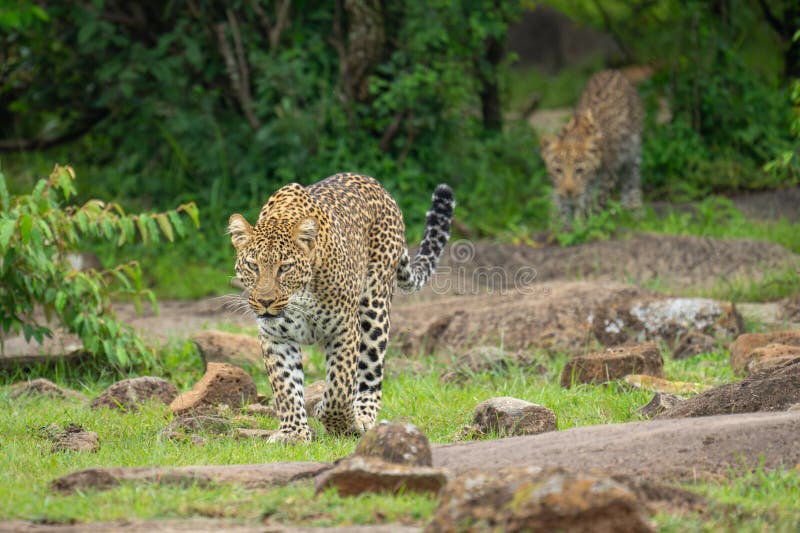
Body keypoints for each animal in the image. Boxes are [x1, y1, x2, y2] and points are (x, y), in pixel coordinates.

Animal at [228, 173, 454, 443]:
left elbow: (340, 385)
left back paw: (363, 416)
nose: (265, 301)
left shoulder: (344, 328)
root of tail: (376, 185)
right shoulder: (275, 337)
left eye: (285, 267)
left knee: (371, 373)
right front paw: (293, 433)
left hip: (374, 308)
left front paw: (339, 422)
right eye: (253, 266)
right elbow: (285, 387)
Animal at [540, 69, 644, 227]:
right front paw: (561, 224)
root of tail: (611, 71)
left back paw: (633, 208)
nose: (569, 192)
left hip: (633, 150)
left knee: (632, 177)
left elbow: (591, 205)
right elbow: (560, 206)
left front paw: (582, 225)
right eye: (558, 170)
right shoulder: (558, 189)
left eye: (580, 171)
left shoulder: (605, 179)